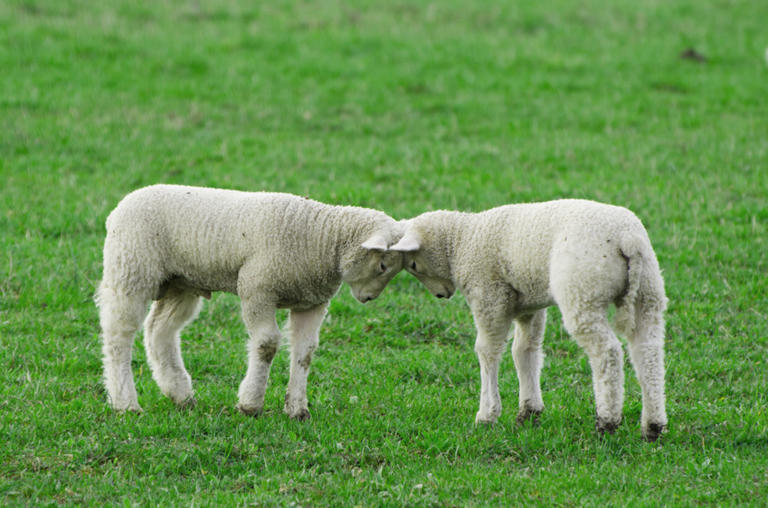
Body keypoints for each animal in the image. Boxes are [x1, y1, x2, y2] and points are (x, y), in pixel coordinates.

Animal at [96, 184, 404, 419]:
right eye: (382, 265)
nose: (368, 298)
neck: (319, 238)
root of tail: (117, 210)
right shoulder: (257, 289)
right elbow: (267, 344)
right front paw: (250, 404)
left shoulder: (310, 303)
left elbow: (305, 353)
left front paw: (297, 409)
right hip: (131, 270)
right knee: (118, 336)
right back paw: (125, 403)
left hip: (180, 284)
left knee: (160, 331)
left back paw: (180, 394)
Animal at [390, 199, 668, 441]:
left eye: (413, 264)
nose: (442, 295)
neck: (462, 241)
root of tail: (627, 238)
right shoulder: (528, 306)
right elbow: (525, 351)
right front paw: (528, 412)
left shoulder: (490, 297)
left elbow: (487, 351)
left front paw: (487, 414)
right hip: (648, 291)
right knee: (648, 353)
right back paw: (652, 427)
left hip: (582, 290)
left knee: (607, 353)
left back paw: (607, 422)